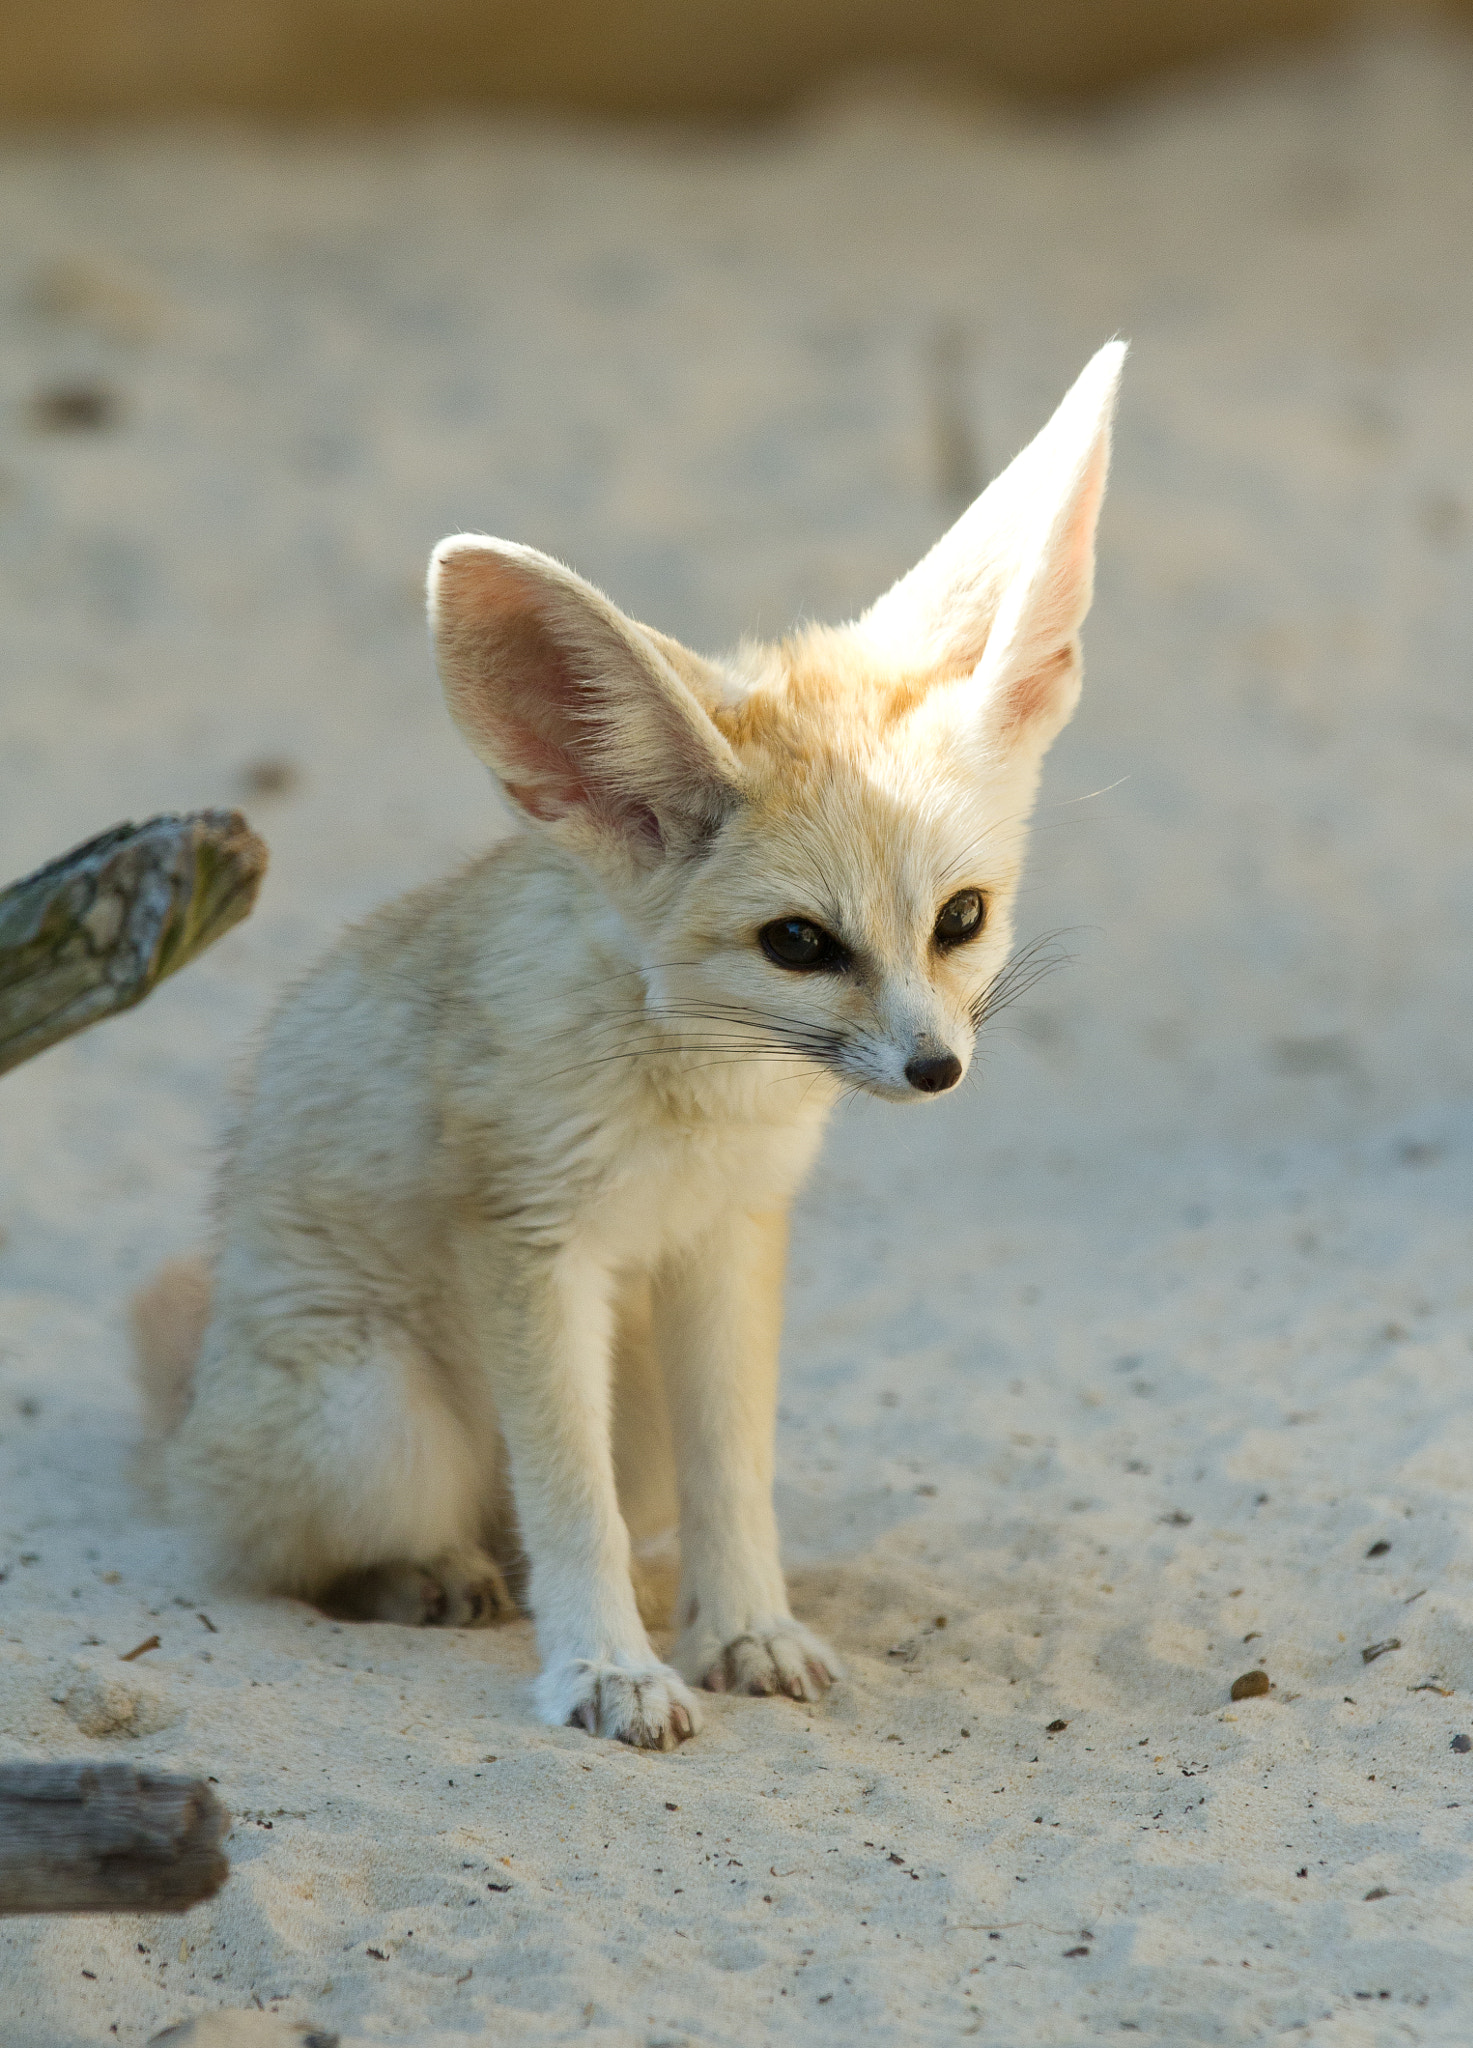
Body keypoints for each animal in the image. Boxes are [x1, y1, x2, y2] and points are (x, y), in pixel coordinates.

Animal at [131, 341, 1124, 1750]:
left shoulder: (727, 1240)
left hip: (617, 1400)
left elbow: (735, 1474)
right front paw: (605, 1666)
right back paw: (427, 1574)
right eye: (799, 943)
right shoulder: (530, 1245)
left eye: (961, 920)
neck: (696, 1093)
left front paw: (747, 1628)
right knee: (298, 1550)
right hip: (378, 1420)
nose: (937, 1069)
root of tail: (182, 1422)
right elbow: (569, 1501)